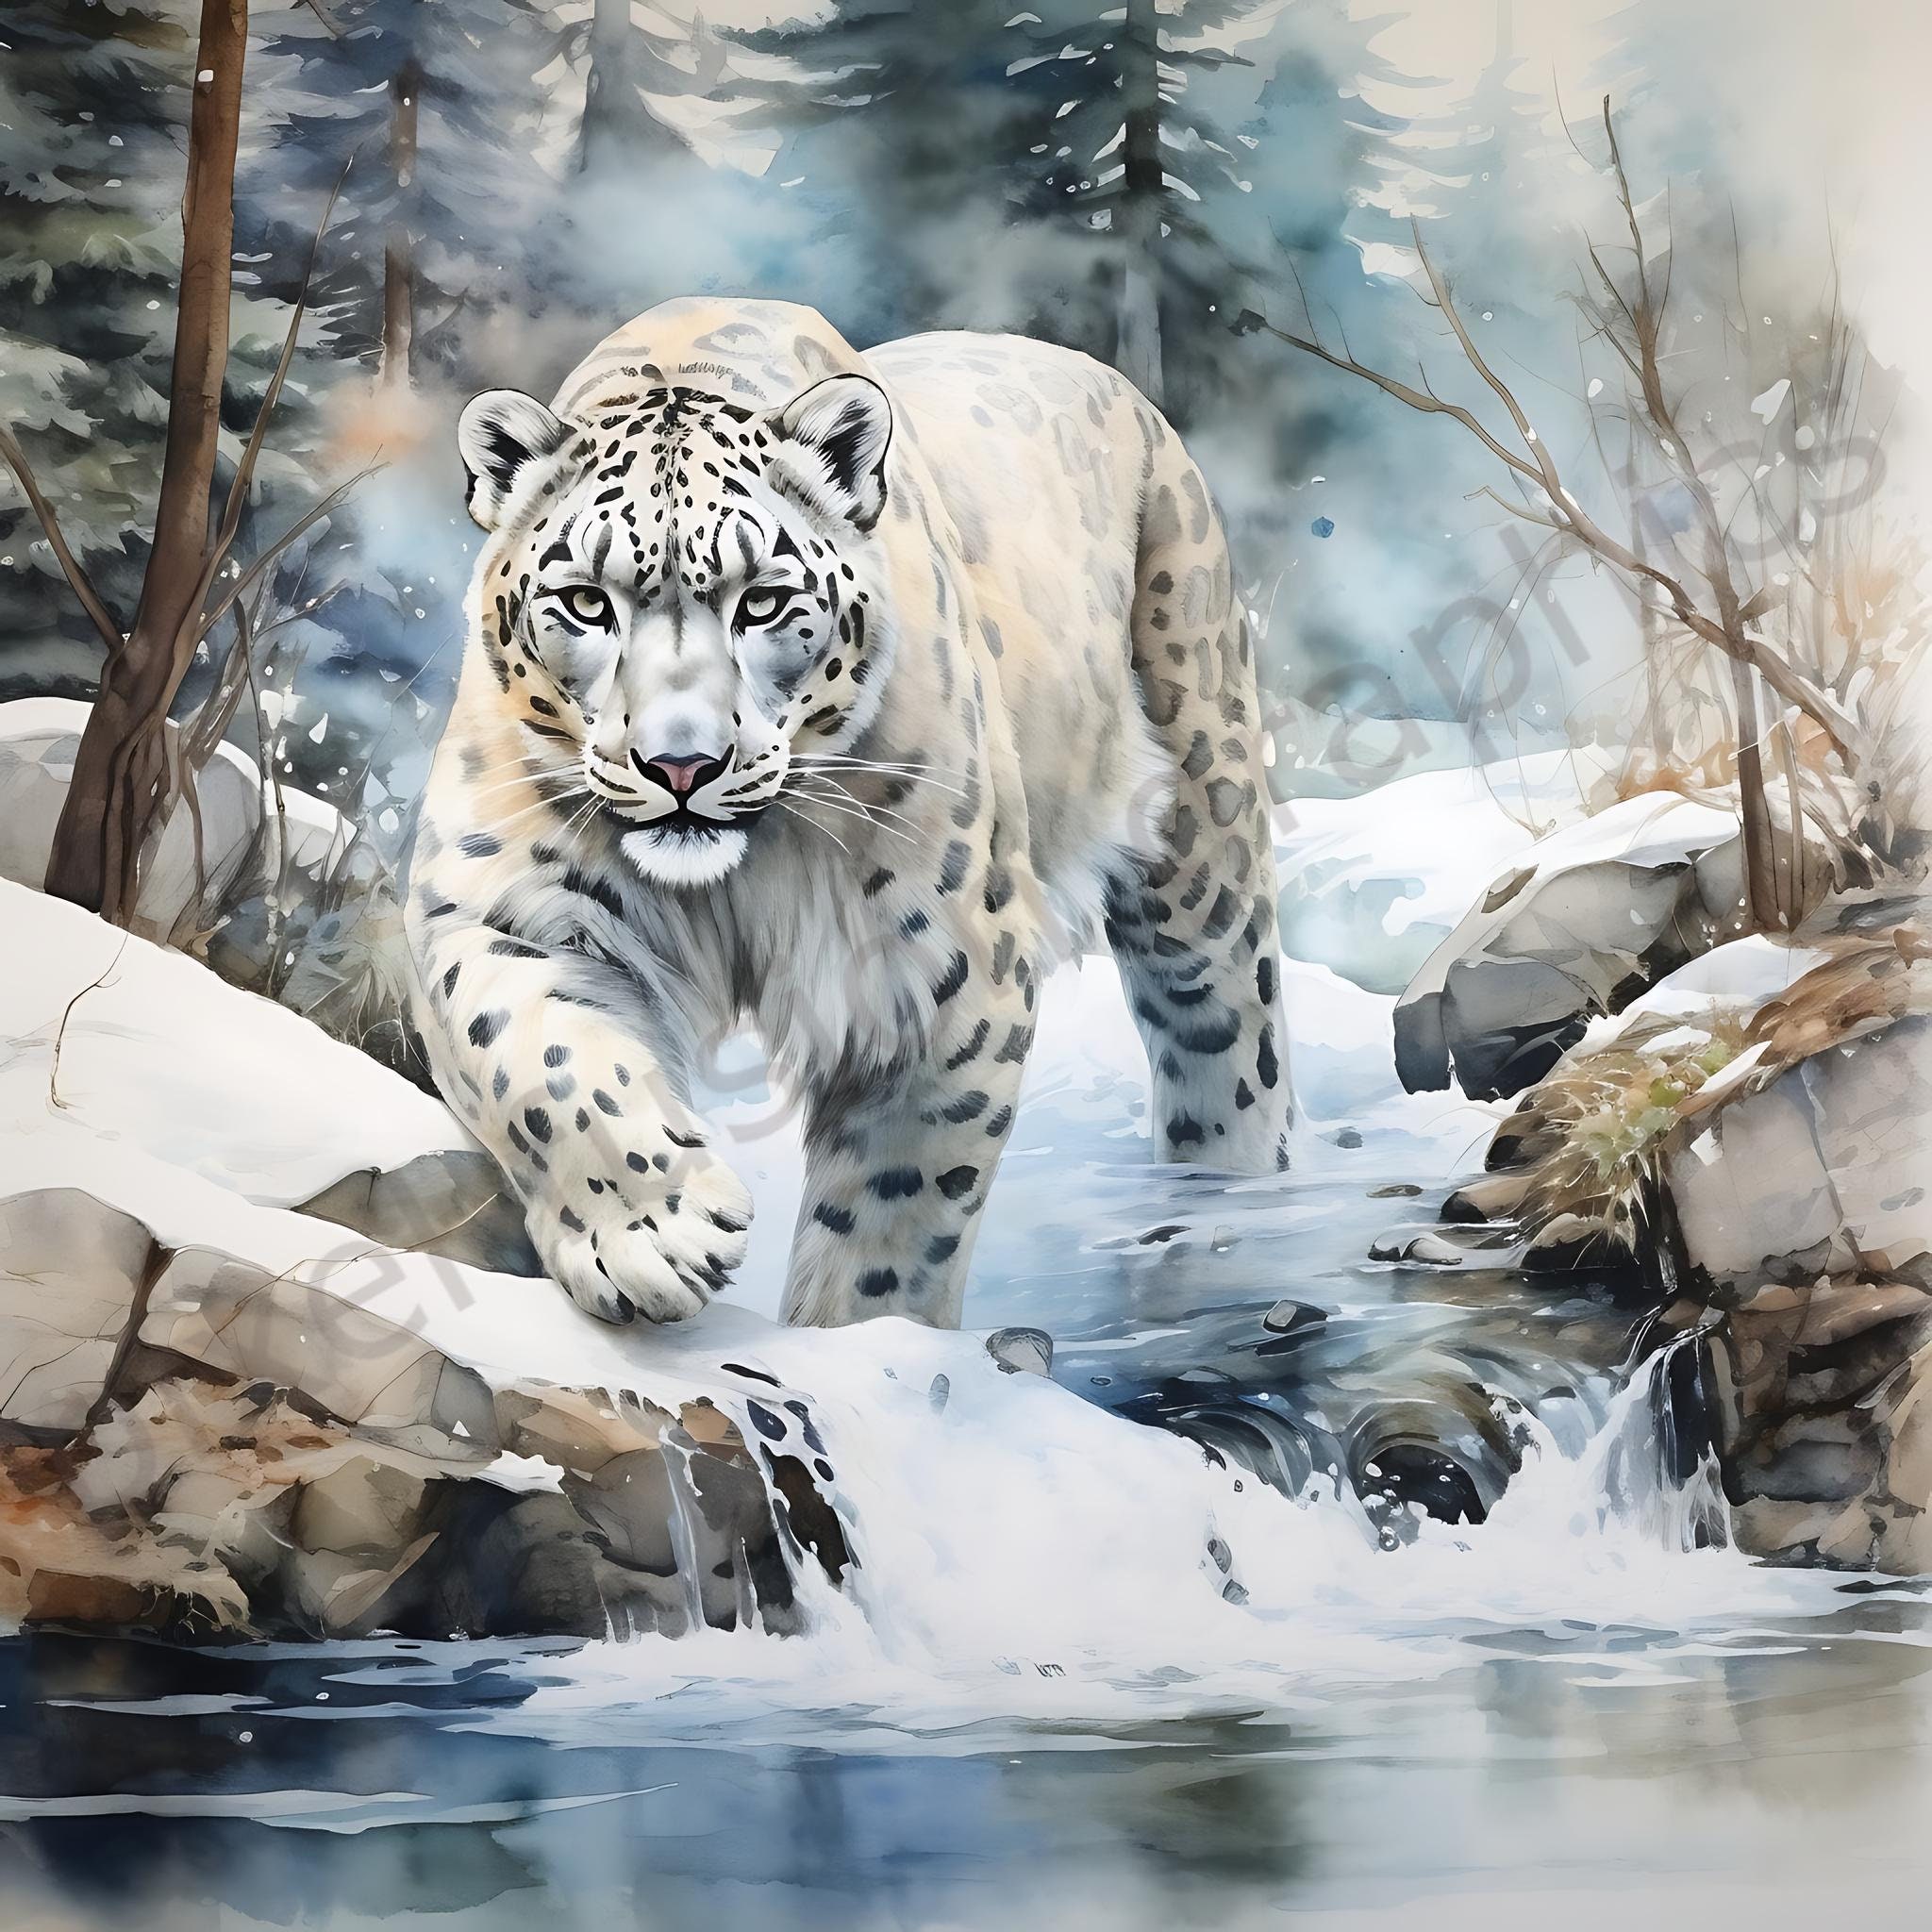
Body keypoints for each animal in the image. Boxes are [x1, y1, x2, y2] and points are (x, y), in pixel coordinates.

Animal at [404, 297, 1289, 1330]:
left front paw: (862, 1338)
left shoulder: (940, 971)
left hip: (1202, 838)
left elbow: (895, 1204)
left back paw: (1232, 1216)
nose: (679, 764)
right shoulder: (501, 900)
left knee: (1228, 1039)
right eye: (585, 601)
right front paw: (656, 1241)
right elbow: (536, 1059)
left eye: (762, 602)